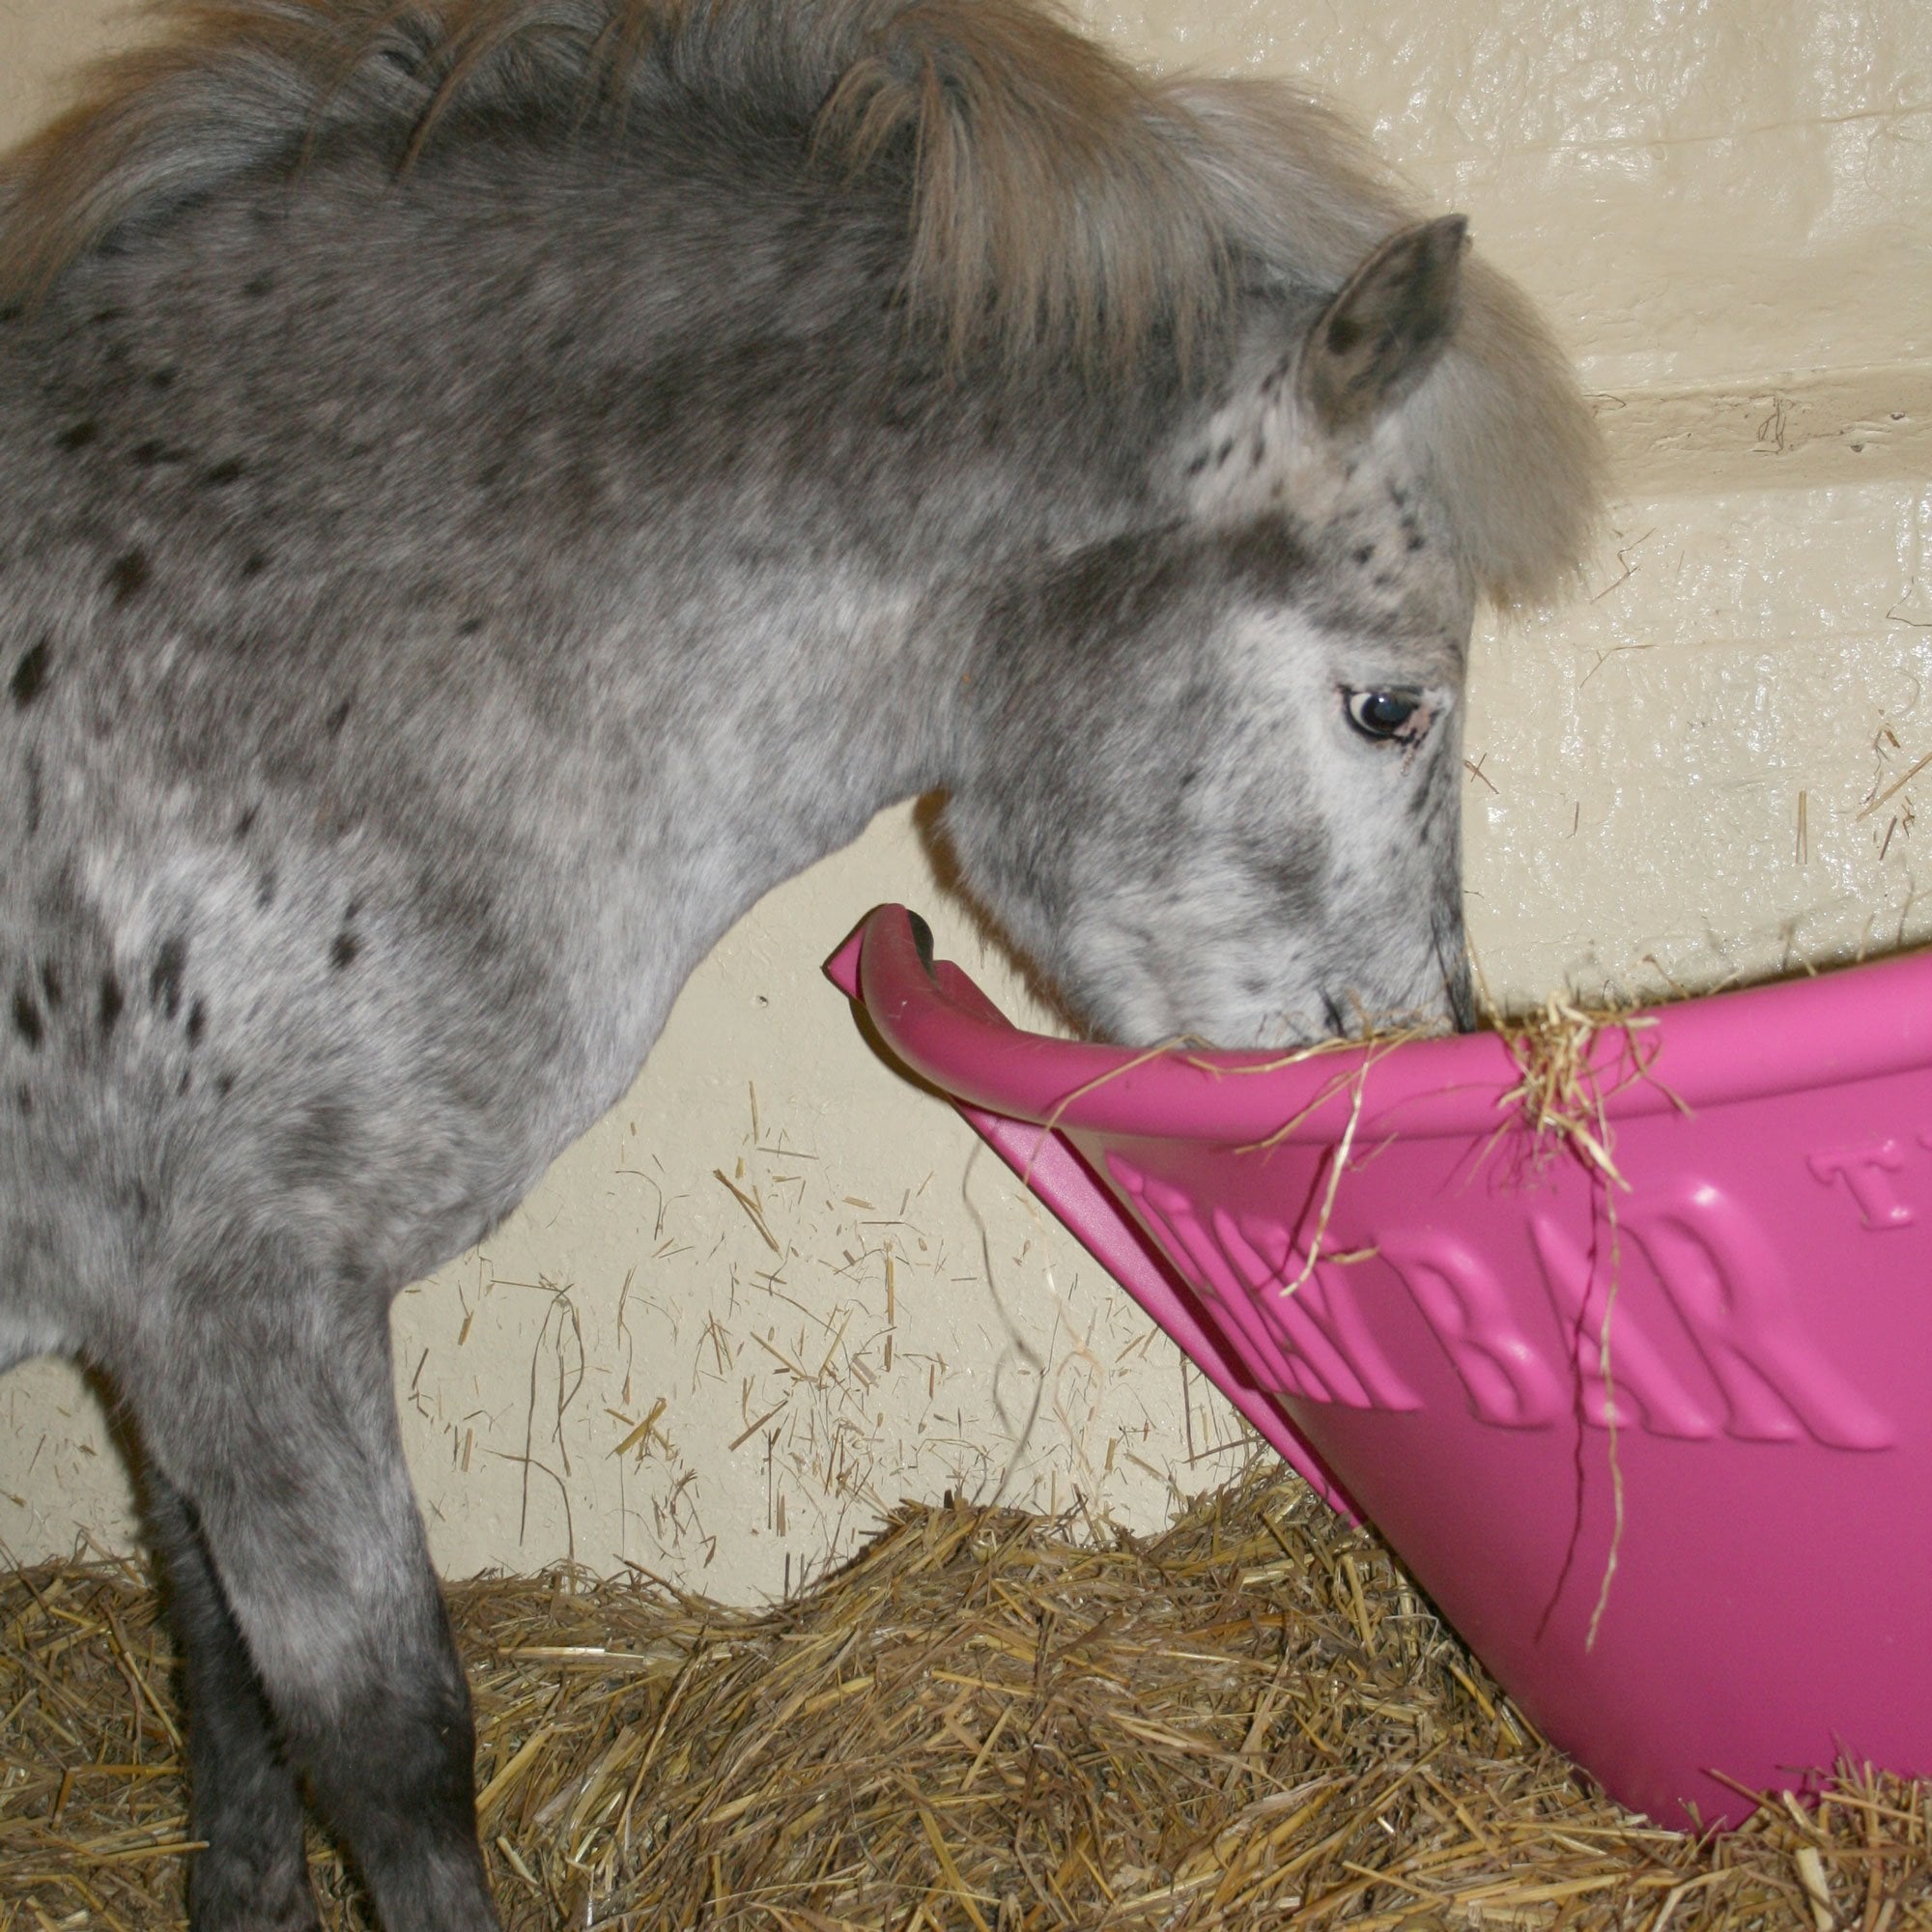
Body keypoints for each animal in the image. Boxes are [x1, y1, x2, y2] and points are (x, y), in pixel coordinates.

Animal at [0, 0, 1600, 1922]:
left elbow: (225, 1689)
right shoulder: (246, 1299)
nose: (1409, 1058)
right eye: (1388, 707)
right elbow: (390, 1744)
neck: (269, 651)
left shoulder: (164, 1323)